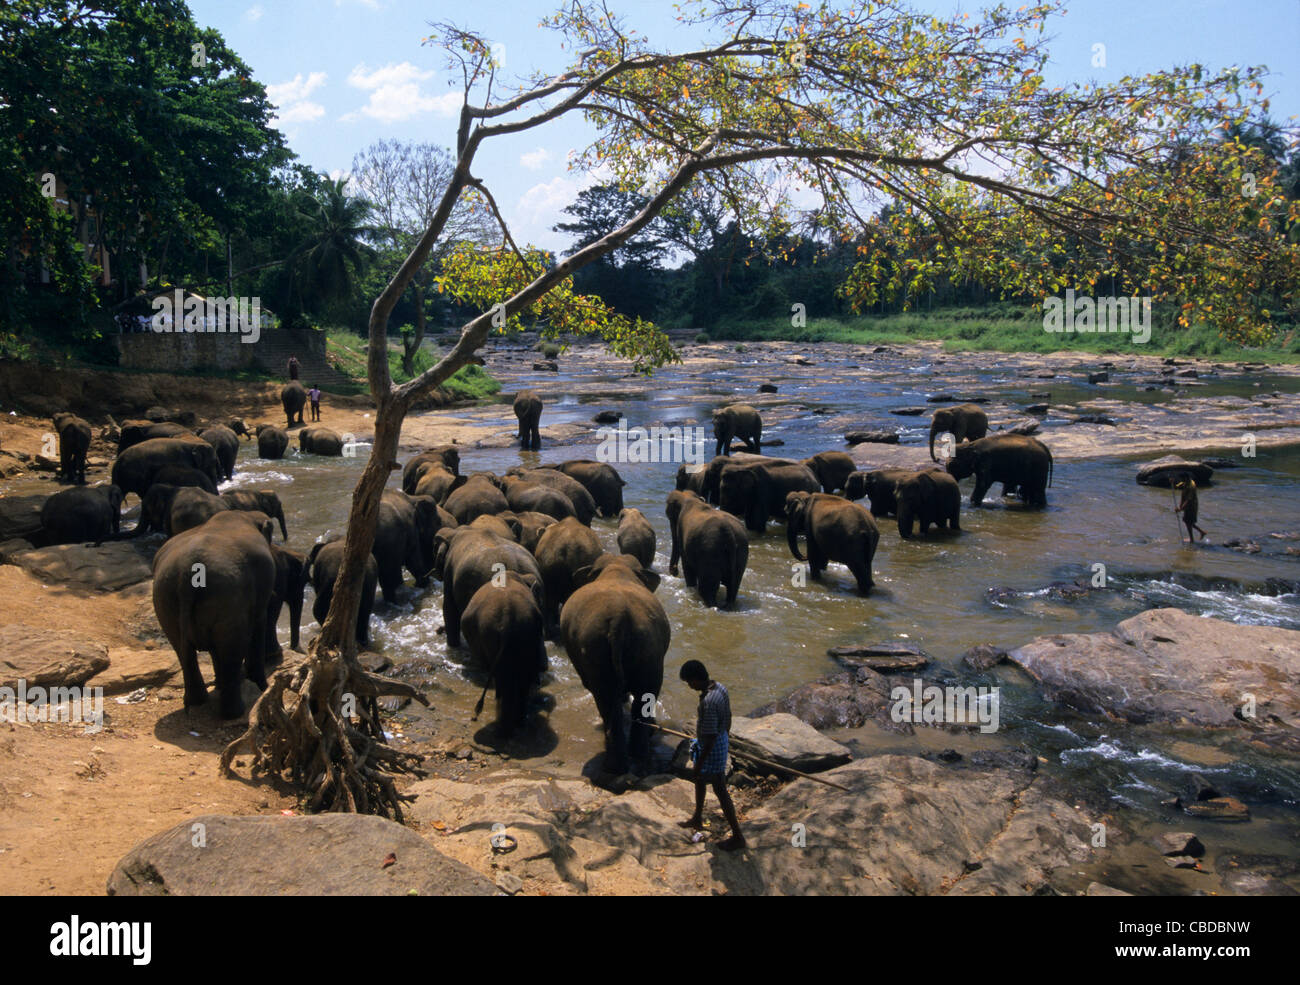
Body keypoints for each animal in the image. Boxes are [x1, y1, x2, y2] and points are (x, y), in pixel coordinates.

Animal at [151, 510, 278, 718]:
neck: (244, 515)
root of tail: (188, 573)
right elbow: (260, 620)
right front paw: (262, 687)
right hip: (227, 597)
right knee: (232, 648)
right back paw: (235, 712)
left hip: (164, 598)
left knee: (182, 649)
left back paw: (196, 701)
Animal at [461, 571, 547, 737]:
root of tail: (507, 618)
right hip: (518, 635)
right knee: (514, 677)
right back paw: (513, 725)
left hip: (496, 635)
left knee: (506, 677)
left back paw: (507, 726)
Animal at [560, 553, 668, 775]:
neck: (617, 567)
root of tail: (619, 617)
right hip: (646, 646)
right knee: (644, 694)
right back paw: (635, 759)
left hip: (596, 648)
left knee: (607, 698)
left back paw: (615, 766)